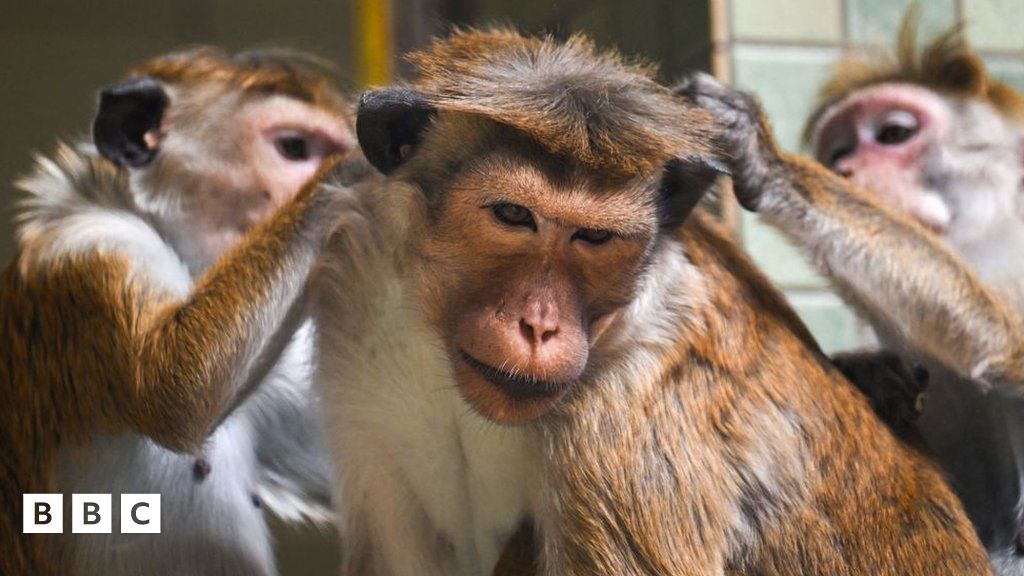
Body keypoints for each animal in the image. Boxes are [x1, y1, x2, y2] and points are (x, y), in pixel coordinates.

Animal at [675, 17, 1024, 573]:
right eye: (840, 151)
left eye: (894, 133)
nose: (845, 171)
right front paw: (870, 370)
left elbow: (1003, 341)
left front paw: (768, 161)